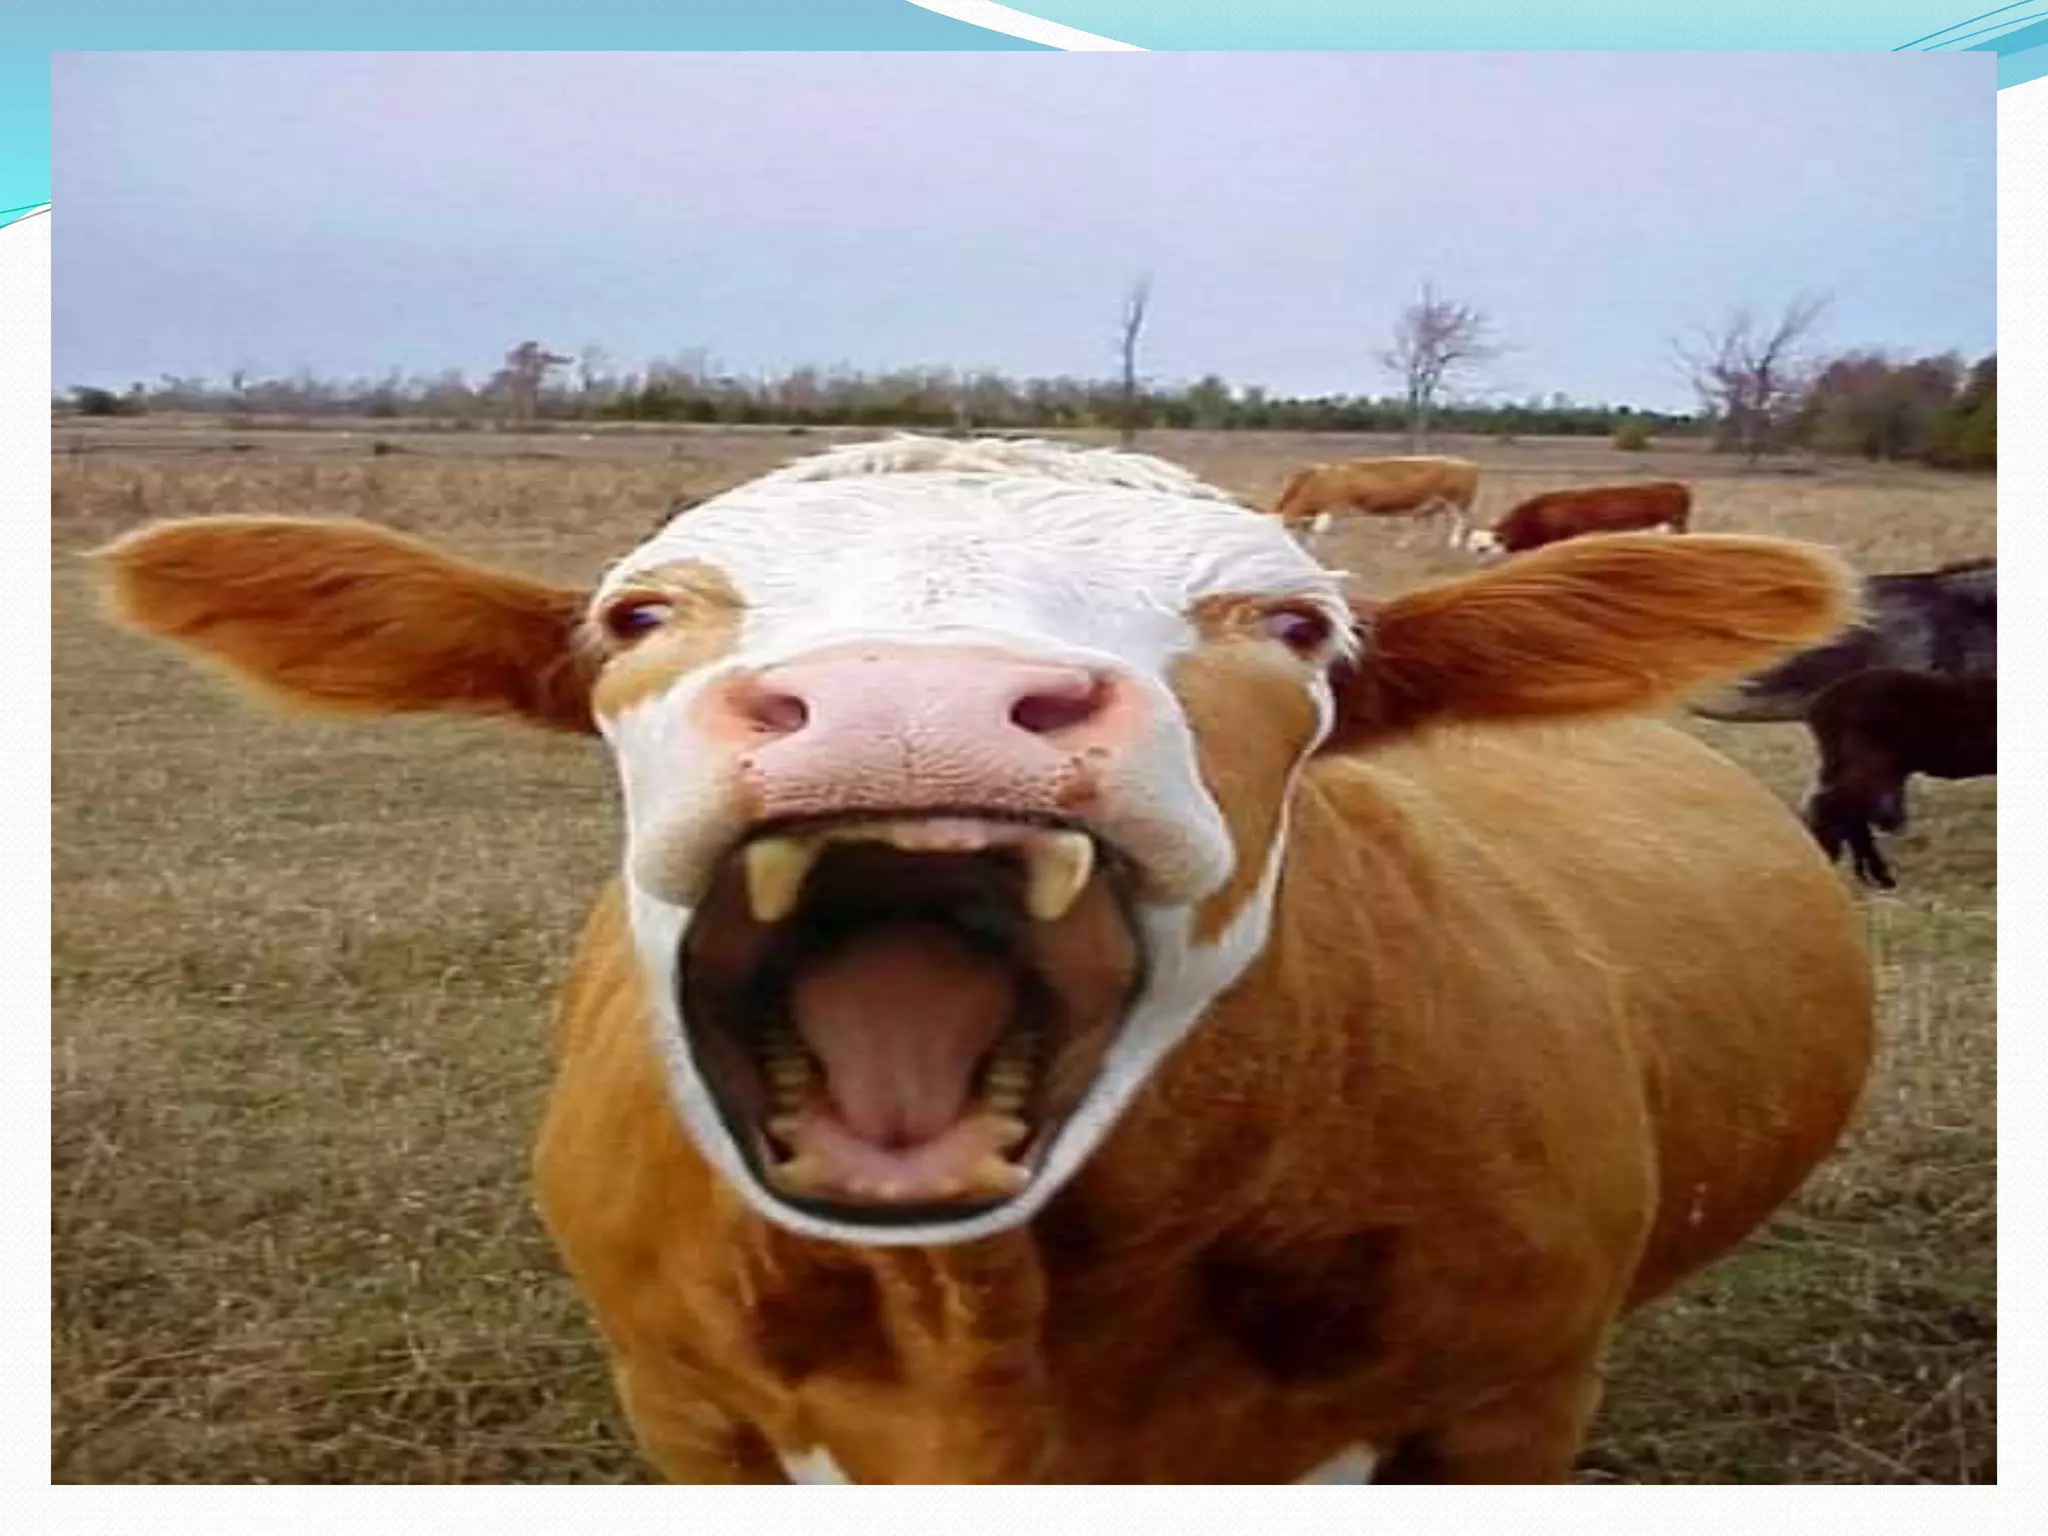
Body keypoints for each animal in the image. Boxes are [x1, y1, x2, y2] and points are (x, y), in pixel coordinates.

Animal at [1270, 455, 1481, 547]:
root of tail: (1466, 463)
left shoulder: (1332, 509)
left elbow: (1316, 532)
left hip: (1457, 502)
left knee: (1461, 522)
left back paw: (1453, 543)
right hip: (1432, 504)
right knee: (1424, 524)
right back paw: (1404, 543)